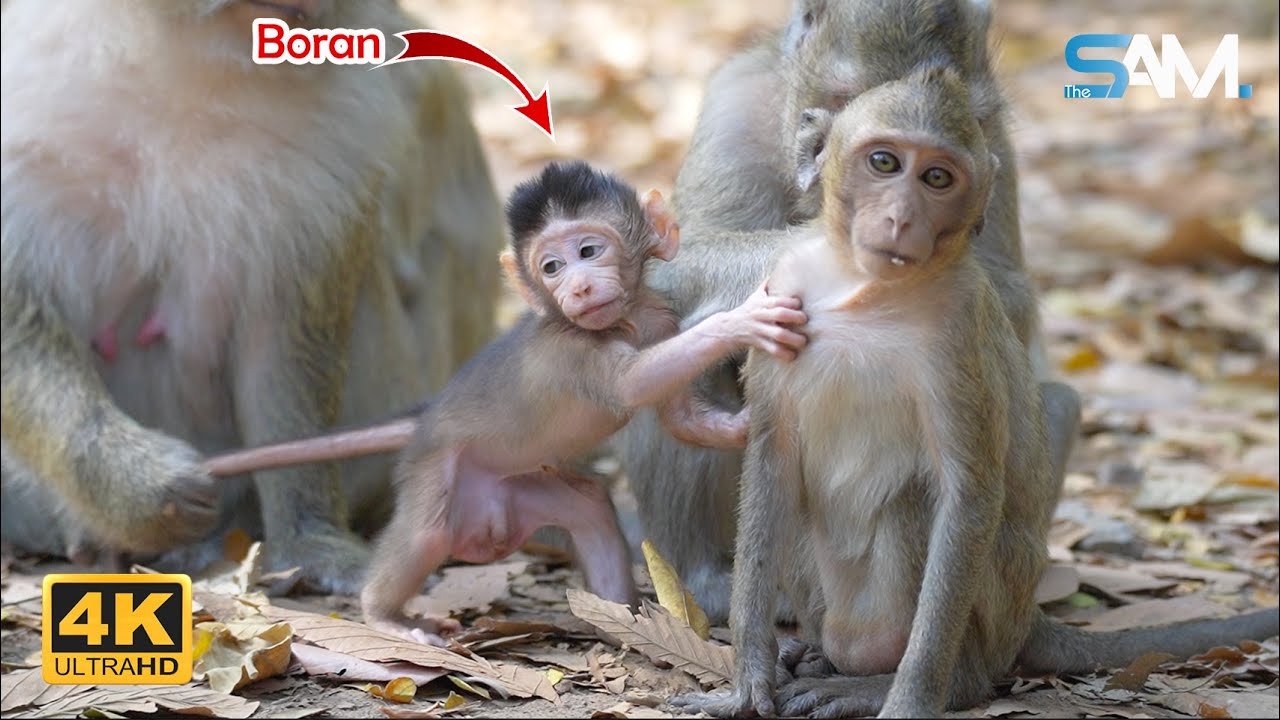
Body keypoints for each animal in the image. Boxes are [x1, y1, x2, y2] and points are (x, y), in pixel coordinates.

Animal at [0, 0, 503, 592]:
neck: (188, 61)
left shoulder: (329, 159)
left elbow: (282, 338)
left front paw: (313, 536)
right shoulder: (27, 133)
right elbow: (17, 319)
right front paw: (137, 490)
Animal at [349, 161, 808, 644]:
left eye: (588, 251)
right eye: (551, 267)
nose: (579, 288)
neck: (626, 322)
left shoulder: (661, 320)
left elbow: (681, 418)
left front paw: (747, 424)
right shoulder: (571, 349)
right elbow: (631, 384)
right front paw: (742, 320)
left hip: (519, 487)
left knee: (590, 510)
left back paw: (622, 619)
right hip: (434, 467)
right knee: (427, 534)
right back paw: (382, 613)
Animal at [611, 0, 1082, 625]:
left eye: (939, 170)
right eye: (846, 106)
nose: (887, 217)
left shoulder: (988, 140)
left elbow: (1007, 298)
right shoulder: (736, 102)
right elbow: (674, 266)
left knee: (1055, 402)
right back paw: (708, 581)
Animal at [670, 65, 1280, 720]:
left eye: (937, 178)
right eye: (884, 162)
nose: (900, 218)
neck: (863, 290)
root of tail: (1027, 615)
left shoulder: (957, 330)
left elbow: (967, 494)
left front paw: (911, 701)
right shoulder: (779, 285)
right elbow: (772, 463)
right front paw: (747, 680)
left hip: (991, 605)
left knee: (918, 505)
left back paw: (920, 682)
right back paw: (816, 657)